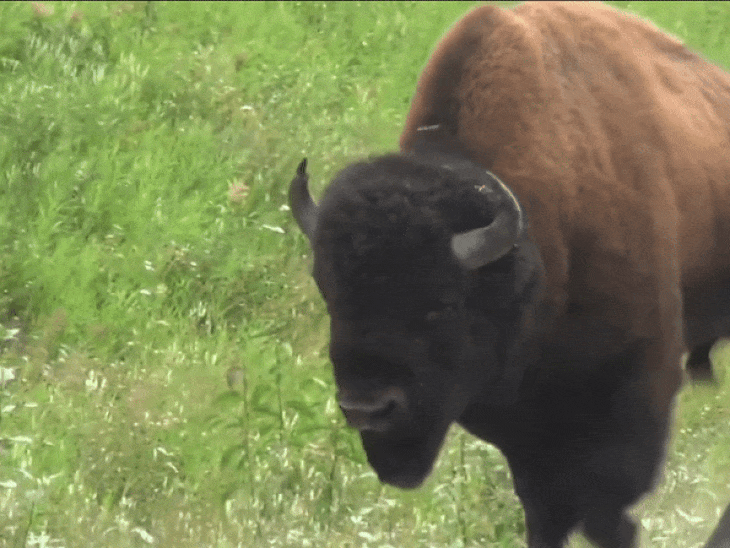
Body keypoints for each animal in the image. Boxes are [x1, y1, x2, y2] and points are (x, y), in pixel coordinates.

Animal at [289, 2, 730, 547]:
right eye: (329, 293)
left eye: (441, 303)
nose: (367, 409)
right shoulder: (527, 428)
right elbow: (545, 508)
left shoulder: (635, 388)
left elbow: (608, 511)